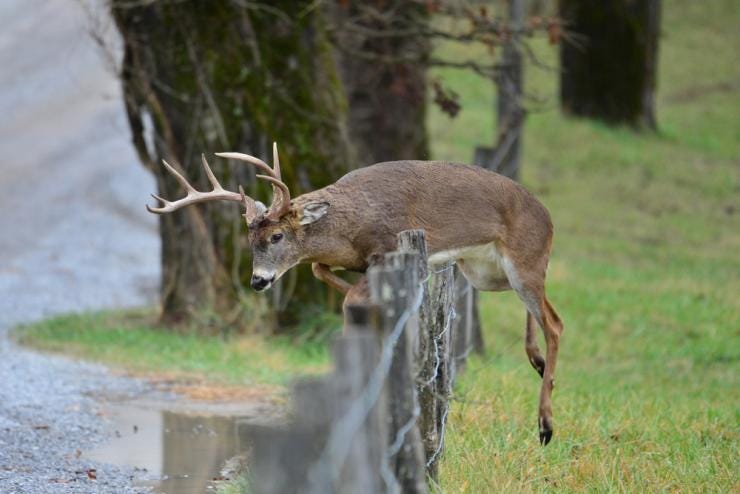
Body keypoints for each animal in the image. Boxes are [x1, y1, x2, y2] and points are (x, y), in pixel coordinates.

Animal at [147, 143, 564, 445]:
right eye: (250, 241)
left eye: (277, 236)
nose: (258, 281)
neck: (350, 227)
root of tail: (548, 216)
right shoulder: (351, 261)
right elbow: (319, 270)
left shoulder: (390, 249)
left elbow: (348, 298)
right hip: (483, 272)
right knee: (540, 309)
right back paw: (536, 361)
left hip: (524, 258)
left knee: (555, 322)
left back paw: (545, 425)